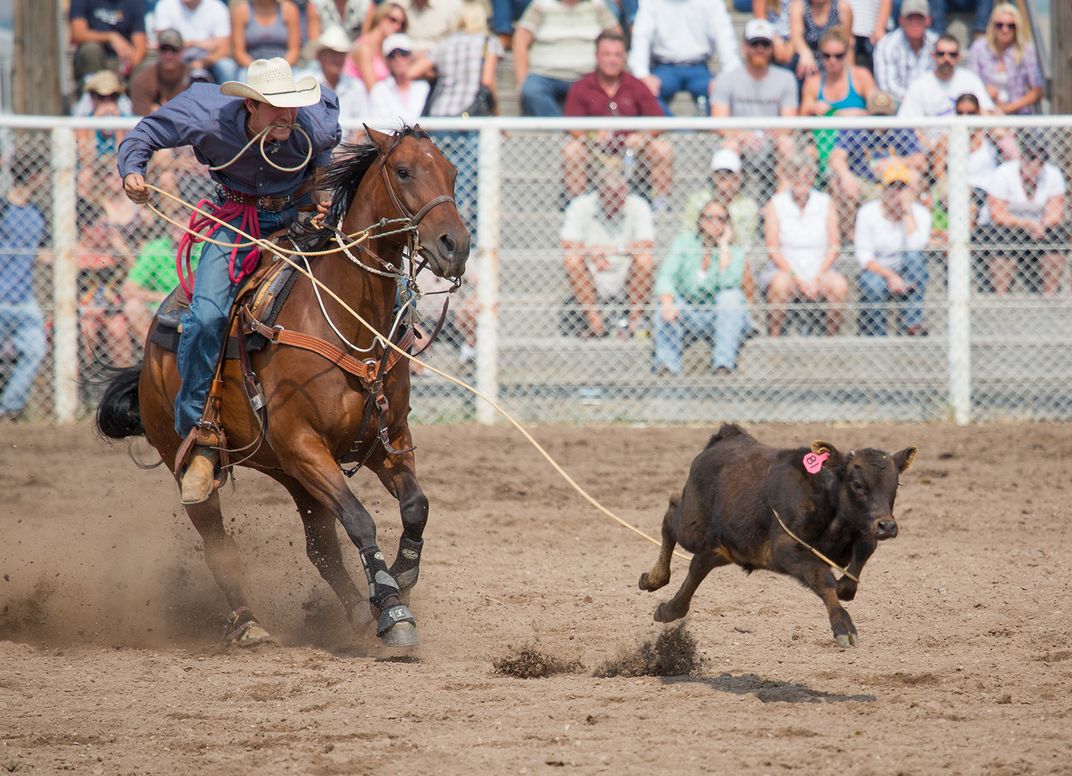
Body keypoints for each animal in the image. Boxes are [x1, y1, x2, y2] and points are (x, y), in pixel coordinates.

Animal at [638, 423, 916, 647]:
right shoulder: (784, 549)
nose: (887, 526)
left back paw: (668, 609)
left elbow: (856, 567)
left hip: (726, 547)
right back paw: (654, 579)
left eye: (895, 485)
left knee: (699, 565)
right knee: (671, 515)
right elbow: (822, 577)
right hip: (693, 527)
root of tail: (727, 436)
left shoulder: (862, 533)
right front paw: (844, 628)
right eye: (857, 484)